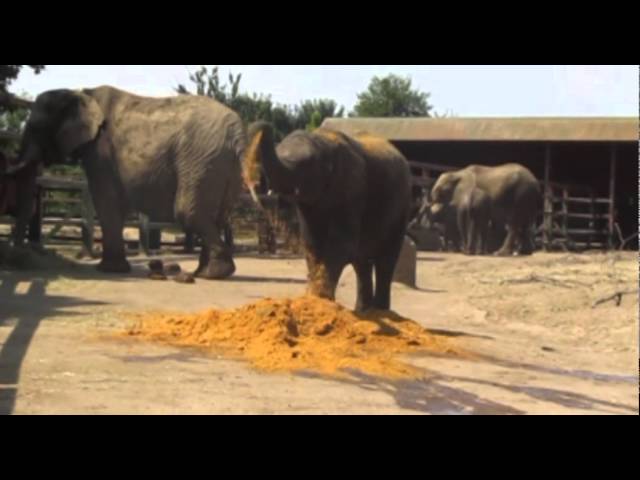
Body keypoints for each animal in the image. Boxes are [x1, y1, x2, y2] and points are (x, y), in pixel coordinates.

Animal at [8, 86, 246, 278]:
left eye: (36, 127)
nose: (18, 254)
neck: (79, 92)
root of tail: (237, 130)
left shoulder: (101, 151)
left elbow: (106, 203)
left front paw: (108, 270)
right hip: (221, 164)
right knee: (216, 216)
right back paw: (207, 272)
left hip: (201, 158)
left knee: (188, 212)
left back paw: (214, 273)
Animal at [244, 122, 412, 311]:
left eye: (305, 164)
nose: (262, 125)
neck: (323, 141)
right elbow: (312, 245)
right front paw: (316, 300)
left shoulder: (351, 191)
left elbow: (341, 246)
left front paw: (320, 299)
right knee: (361, 263)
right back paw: (363, 310)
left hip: (401, 208)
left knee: (386, 260)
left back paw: (380, 311)